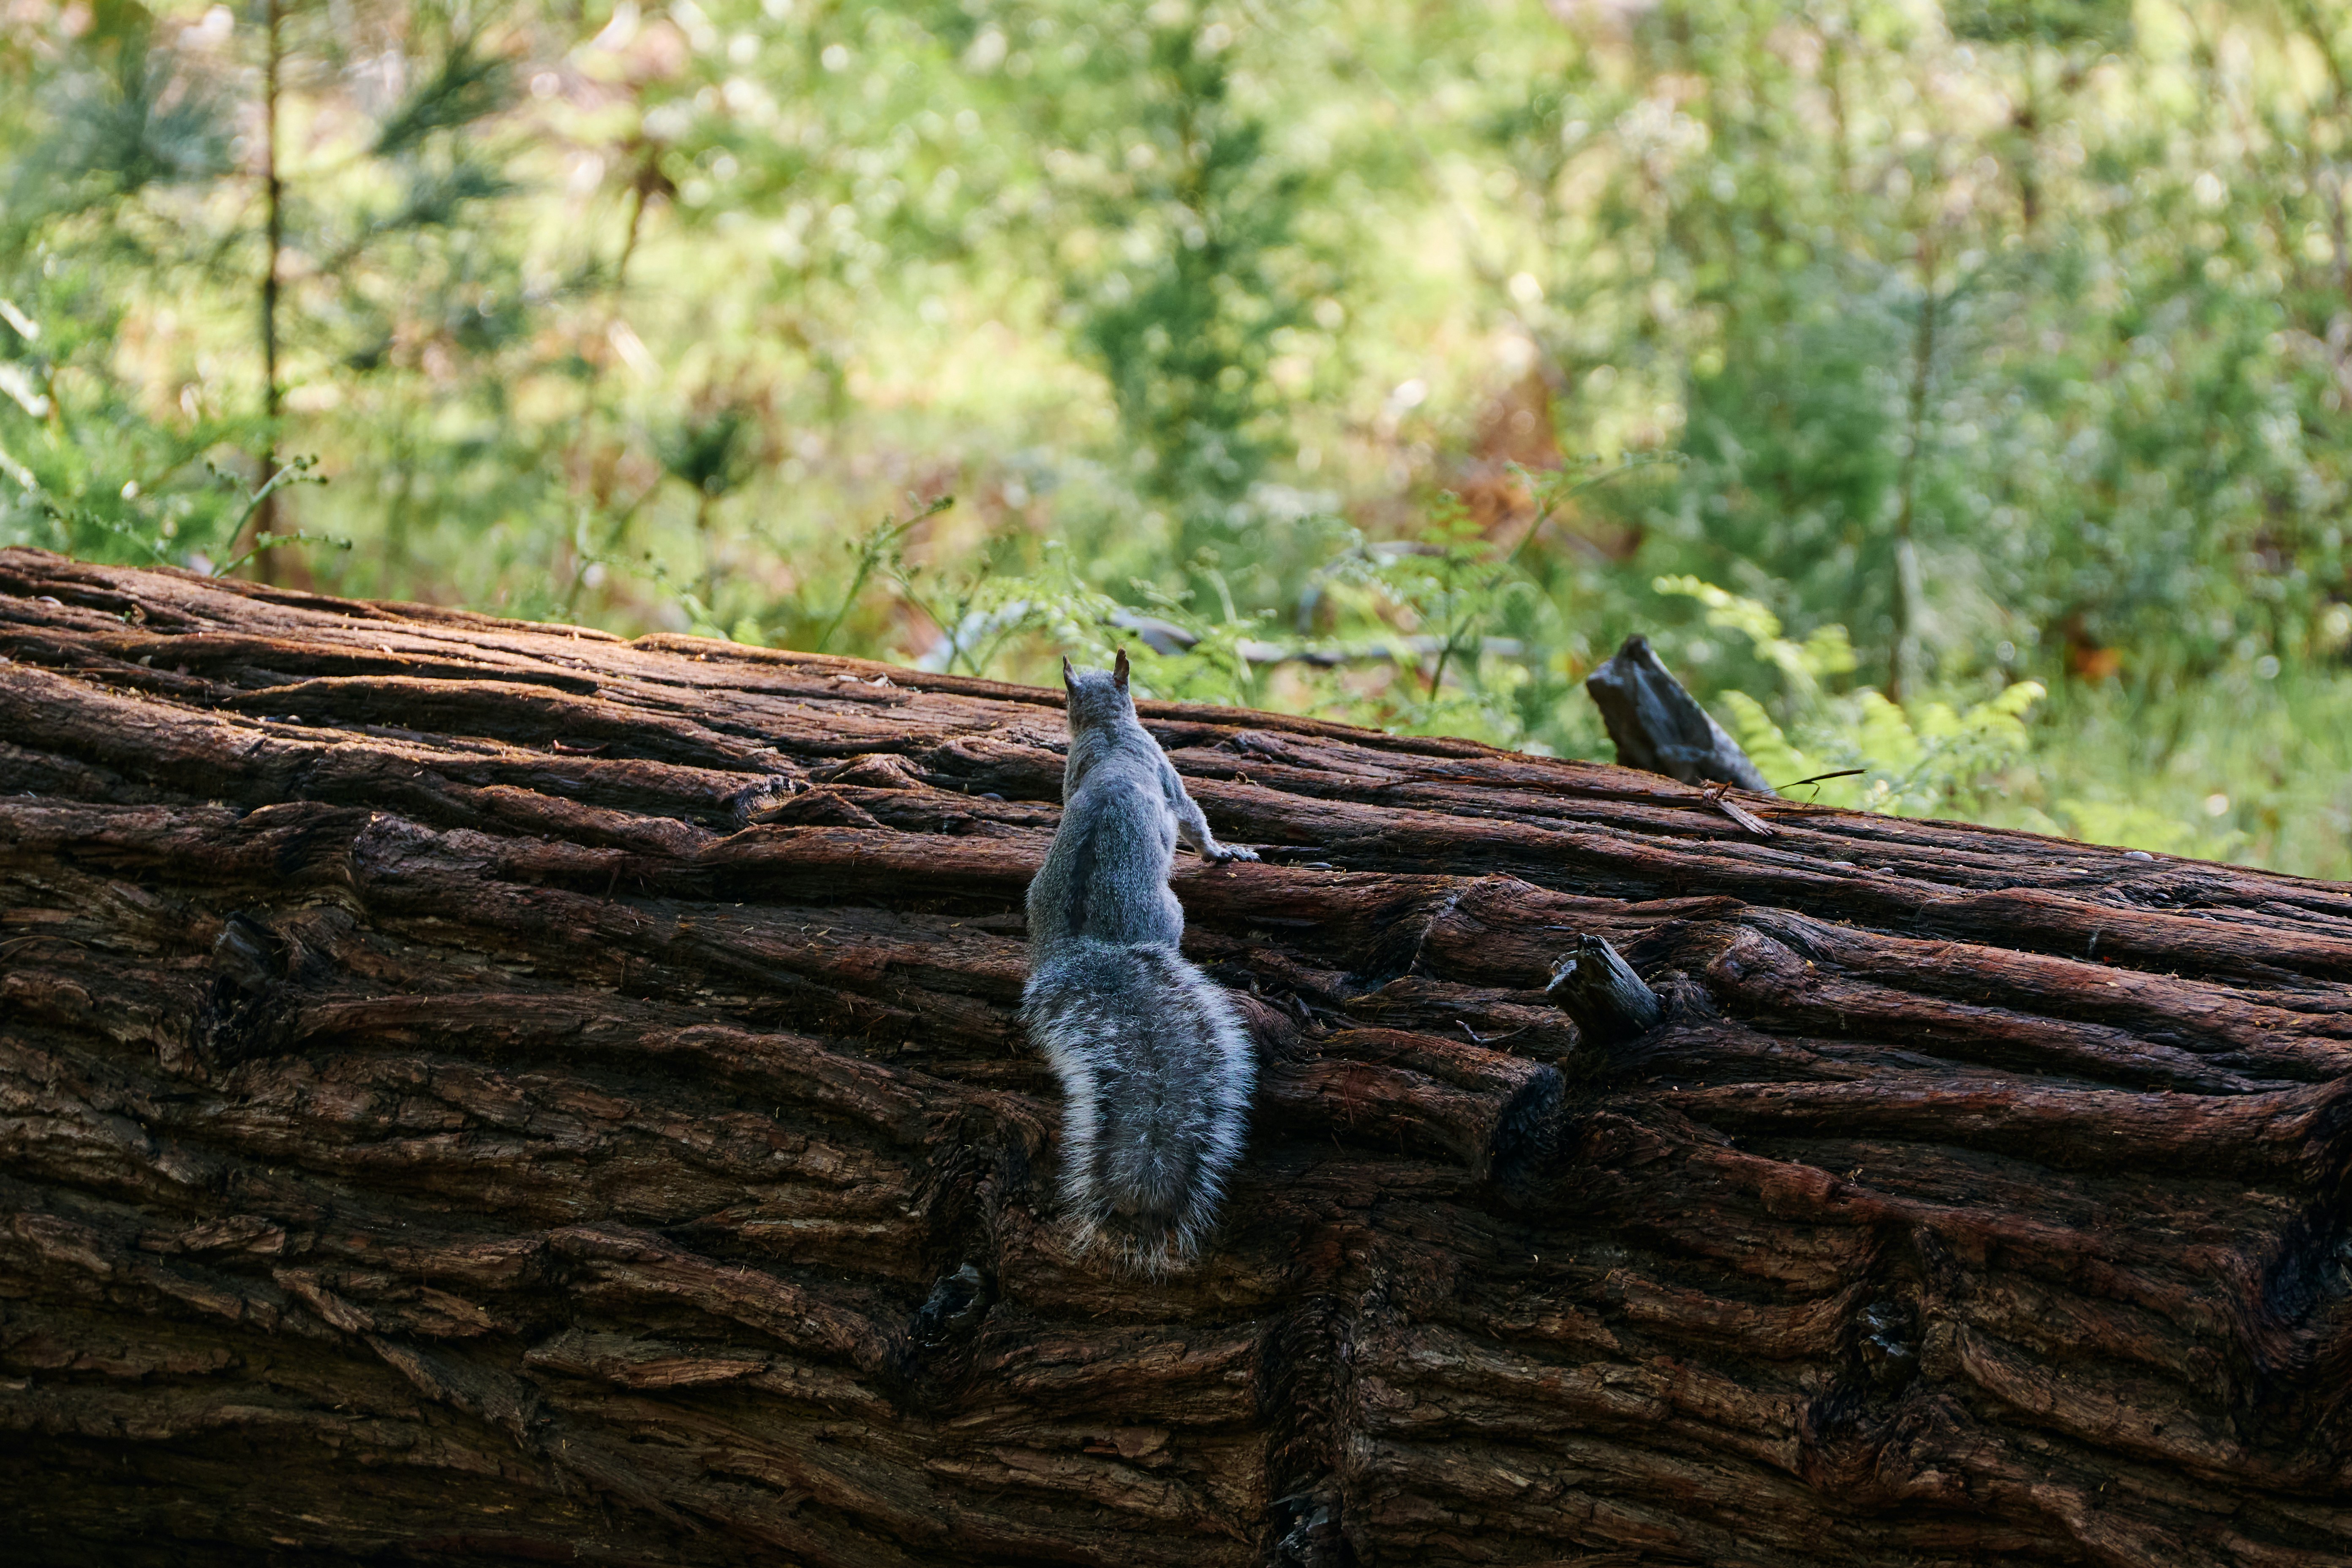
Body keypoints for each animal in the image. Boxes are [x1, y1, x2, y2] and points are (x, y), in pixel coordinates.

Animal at [1023, 649, 1258, 1272]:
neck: (1107, 731)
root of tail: (1085, 948)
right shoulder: (1164, 771)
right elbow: (1194, 817)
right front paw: (1223, 851)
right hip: (1168, 913)